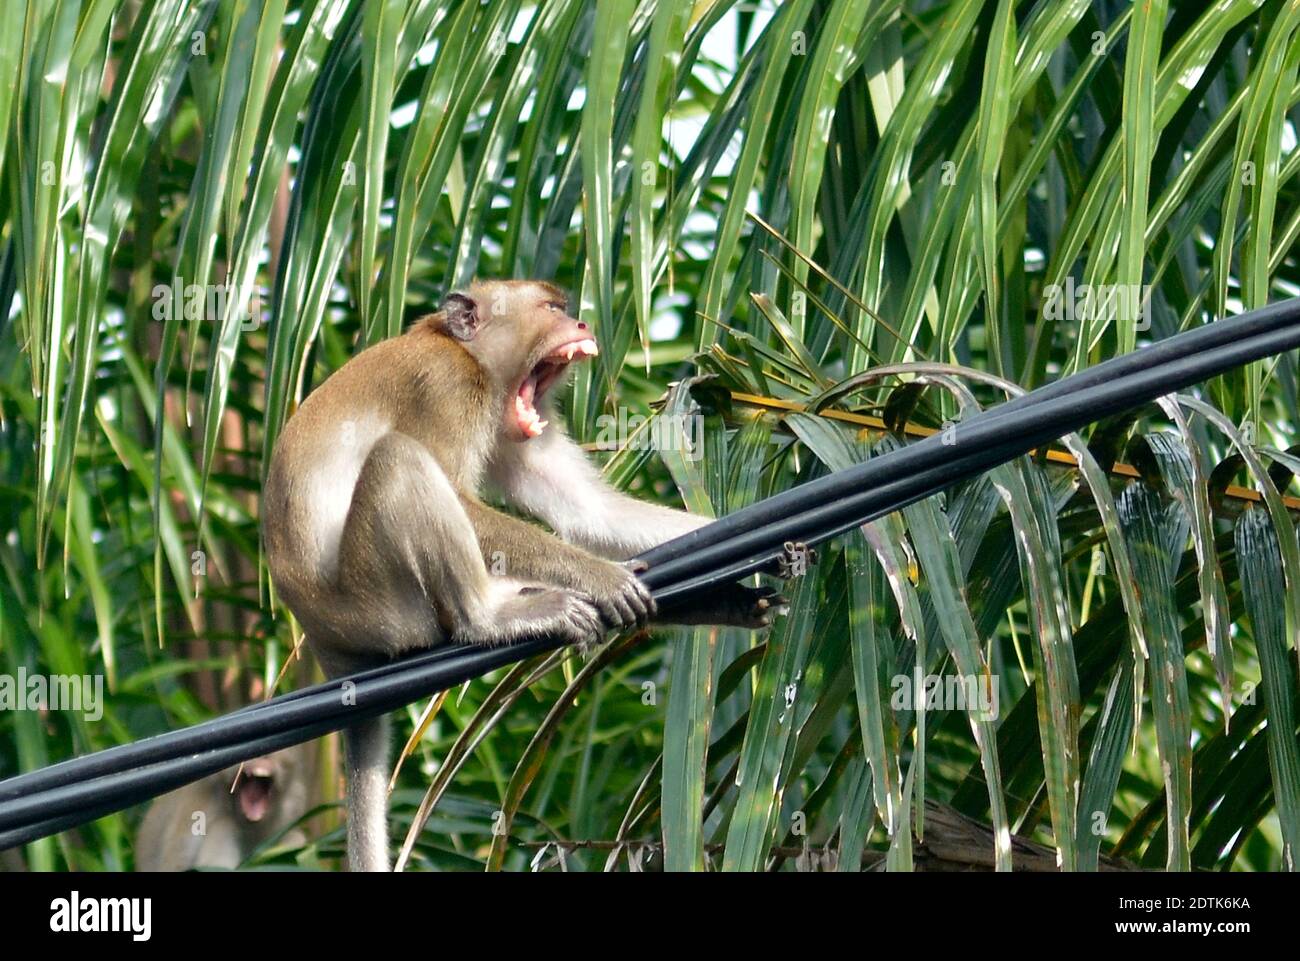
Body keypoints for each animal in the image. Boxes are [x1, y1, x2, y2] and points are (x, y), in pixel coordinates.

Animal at [262, 279, 785, 872]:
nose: (579, 324)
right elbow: (466, 502)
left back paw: (713, 603)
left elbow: (588, 514)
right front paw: (604, 578)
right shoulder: (446, 386)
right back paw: (490, 618)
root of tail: (330, 646)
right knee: (399, 460)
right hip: (381, 605)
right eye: (550, 307)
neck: (468, 354)